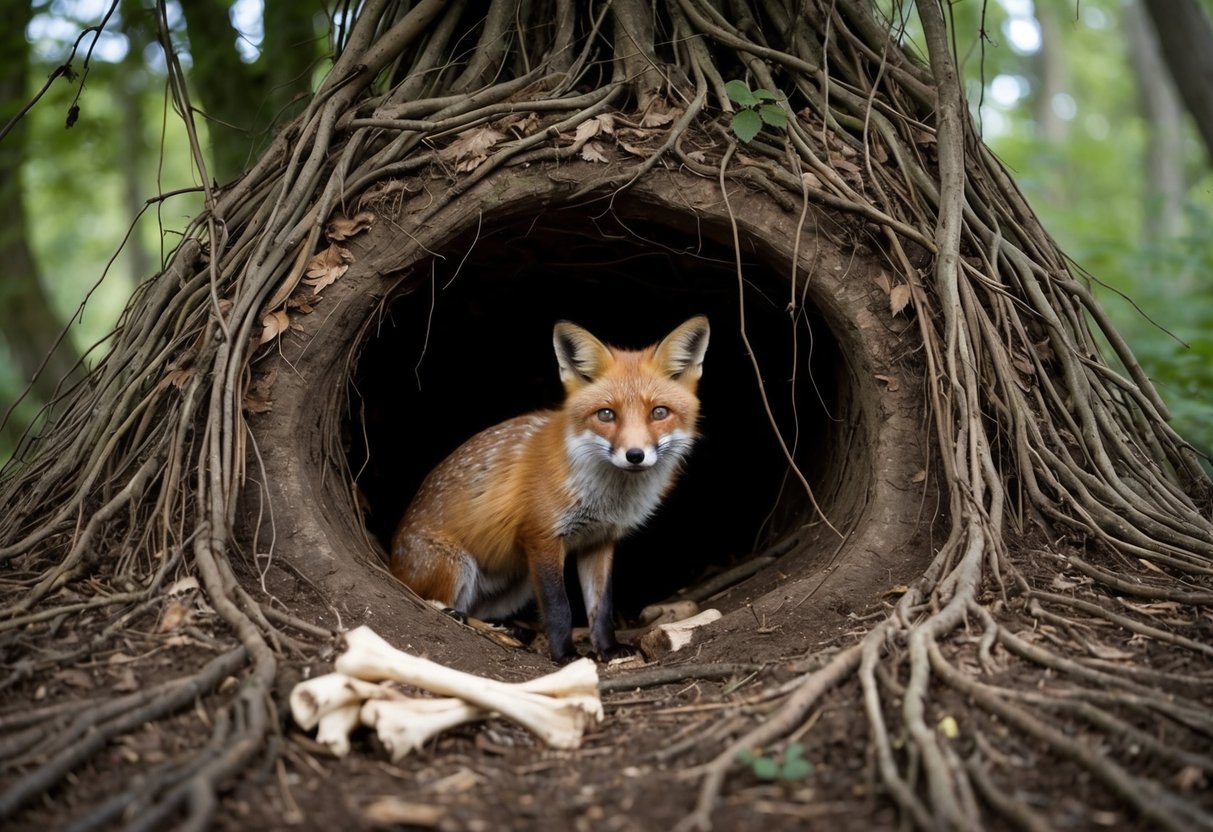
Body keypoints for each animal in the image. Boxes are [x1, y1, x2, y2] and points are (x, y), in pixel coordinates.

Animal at [389, 315, 710, 663]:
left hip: (517, 585)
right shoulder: (542, 537)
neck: (607, 496)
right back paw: (496, 631)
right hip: (458, 567)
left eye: (659, 412)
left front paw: (608, 649)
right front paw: (565, 655)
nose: (635, 455)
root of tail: (391, 562)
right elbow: (559, 608)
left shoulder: (599, 541)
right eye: (606, 414)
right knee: (437, 605)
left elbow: (601, 607)